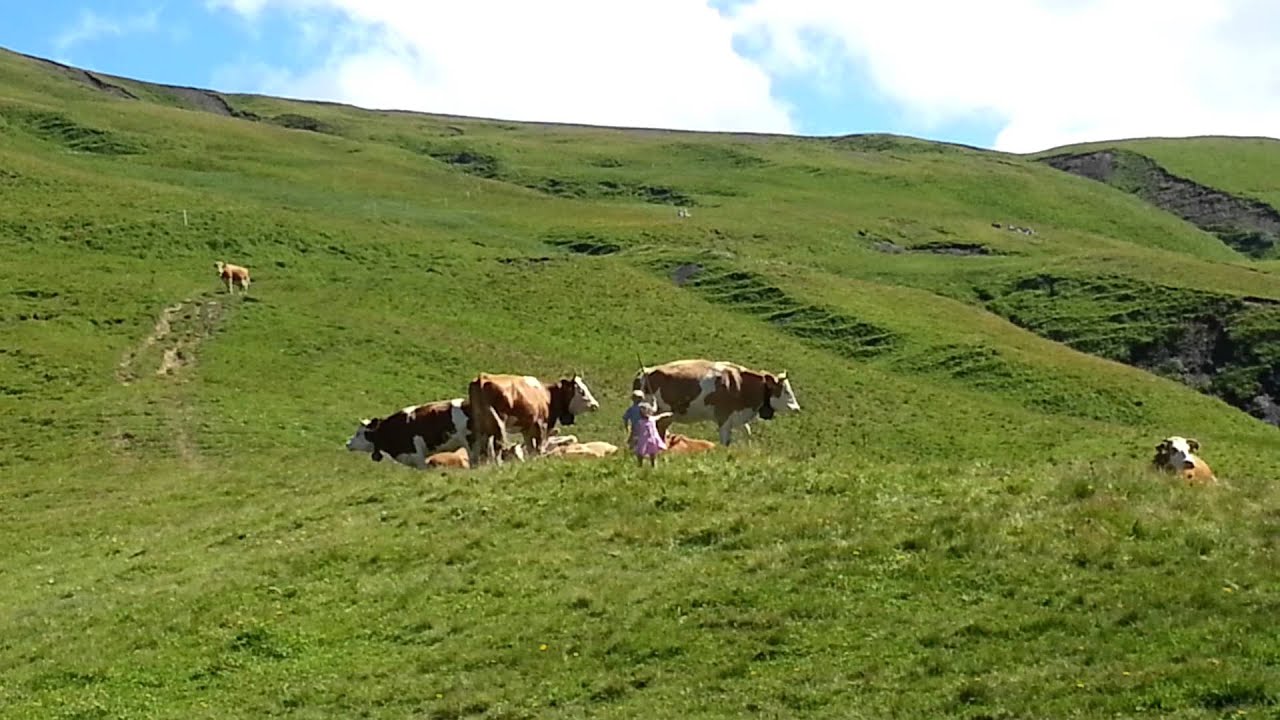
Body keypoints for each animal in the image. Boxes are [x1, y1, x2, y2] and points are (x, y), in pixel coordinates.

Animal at [468, 372, 600, 465]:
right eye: (581, 391)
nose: (595, 405)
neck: (548, 395)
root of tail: (482, 378)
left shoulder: (527, 429)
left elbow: (530, 447)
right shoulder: (541, 425)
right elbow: (539, 447)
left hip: (480, 426)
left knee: (479, 446)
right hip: (499, 423)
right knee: (497, 445)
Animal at [633, 359, 799, 445]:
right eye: (785, 390)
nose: (797, 408)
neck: (739, 383)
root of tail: (646, 370)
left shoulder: (736, 416)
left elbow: (747, 432)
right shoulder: (724, 417)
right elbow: (725, 441)